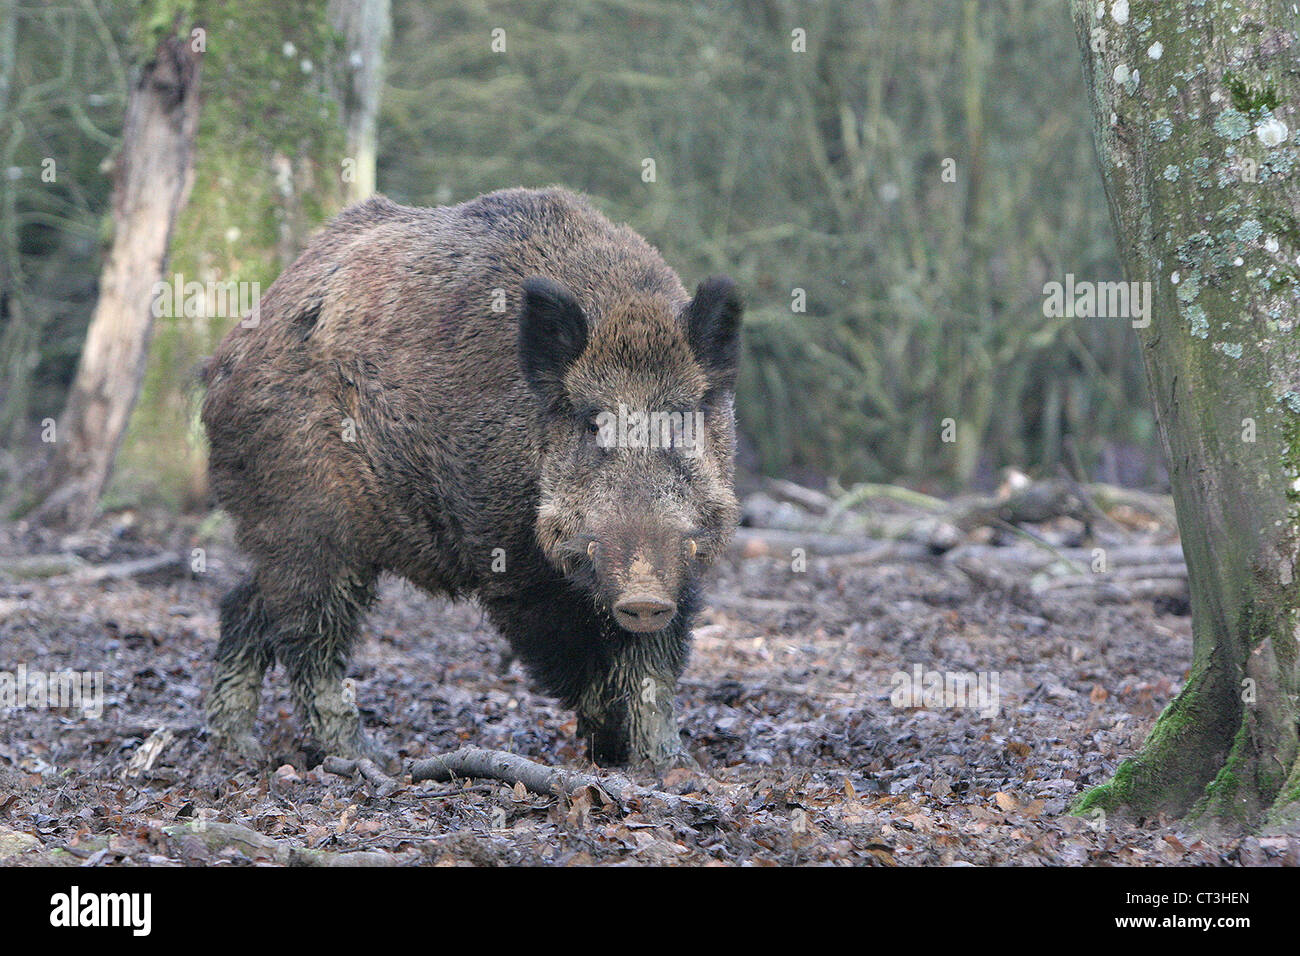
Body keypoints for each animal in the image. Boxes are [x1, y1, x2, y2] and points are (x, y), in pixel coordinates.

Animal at [200, 186, 742, 767]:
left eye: (682, 418)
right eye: (591, 421)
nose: (643, 596)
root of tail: (224, 363)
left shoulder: (682, 568)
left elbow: (652, 665)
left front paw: (668, 765)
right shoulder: (509, 560)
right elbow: (582, 663)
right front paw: (615, 751)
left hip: (282, 532)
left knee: (246, 606)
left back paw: (239, 748)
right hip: (309, 520)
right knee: (309, 635)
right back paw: (367, 756)